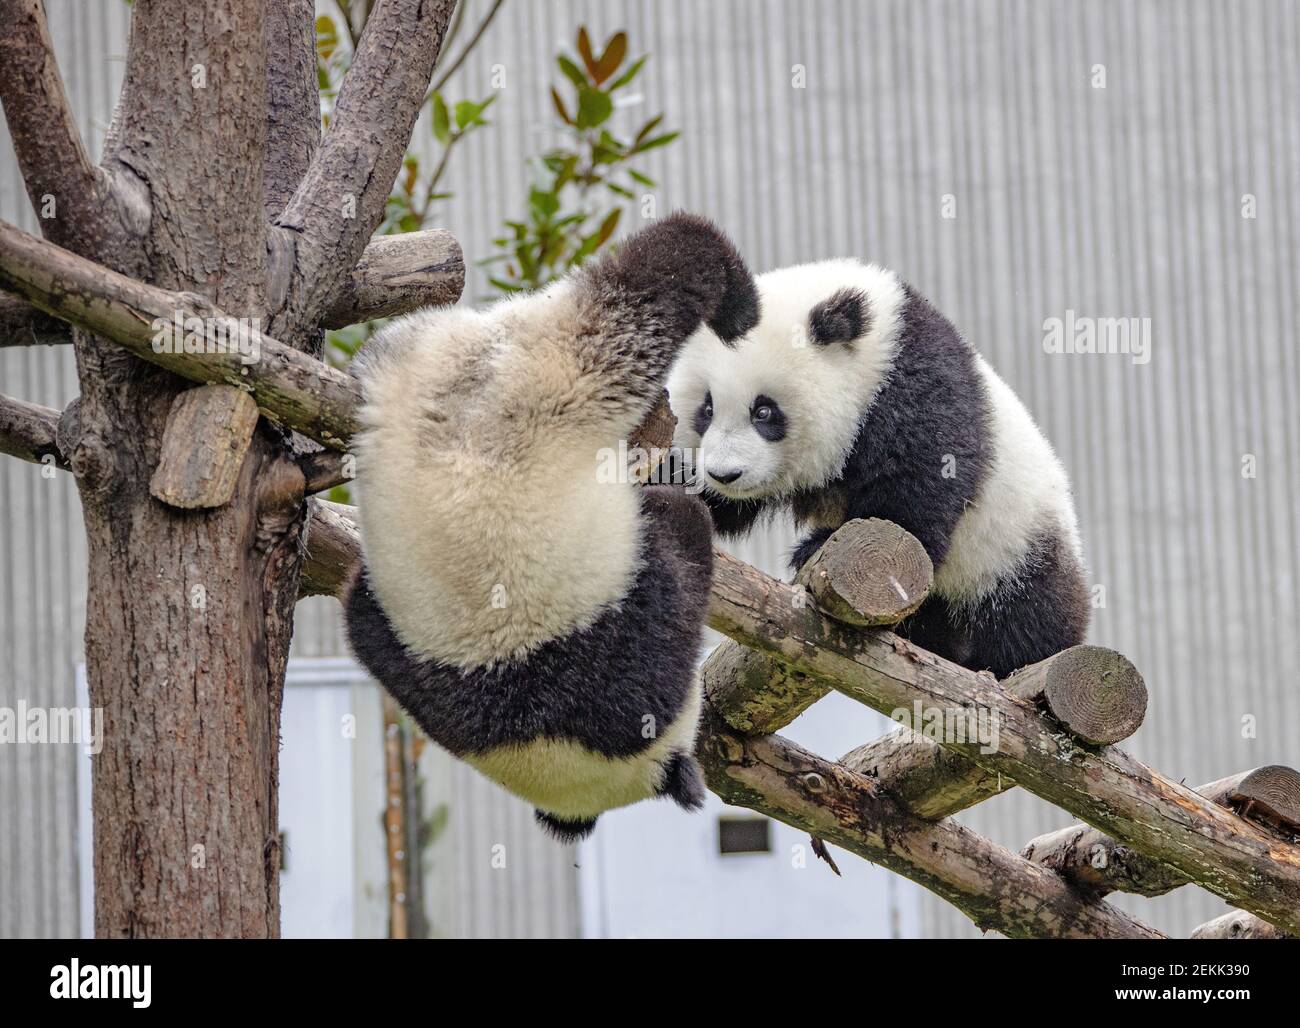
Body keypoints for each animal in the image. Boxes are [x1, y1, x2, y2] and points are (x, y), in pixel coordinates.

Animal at [342, 213, 759, 842]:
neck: (537, 729)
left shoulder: (415, 660)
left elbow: (360, 616)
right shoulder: (630, 651)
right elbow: (679, 552)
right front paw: (676, 510)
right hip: (558, 385)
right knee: (639, 303)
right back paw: (731, 295)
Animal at [667, 259, 1089, 679]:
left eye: (764, 411)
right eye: (706, 409)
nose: (723, 475)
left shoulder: (914, 387)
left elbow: (916, 491)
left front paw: (815, 545)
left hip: (1012, 545)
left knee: (1027, 618)